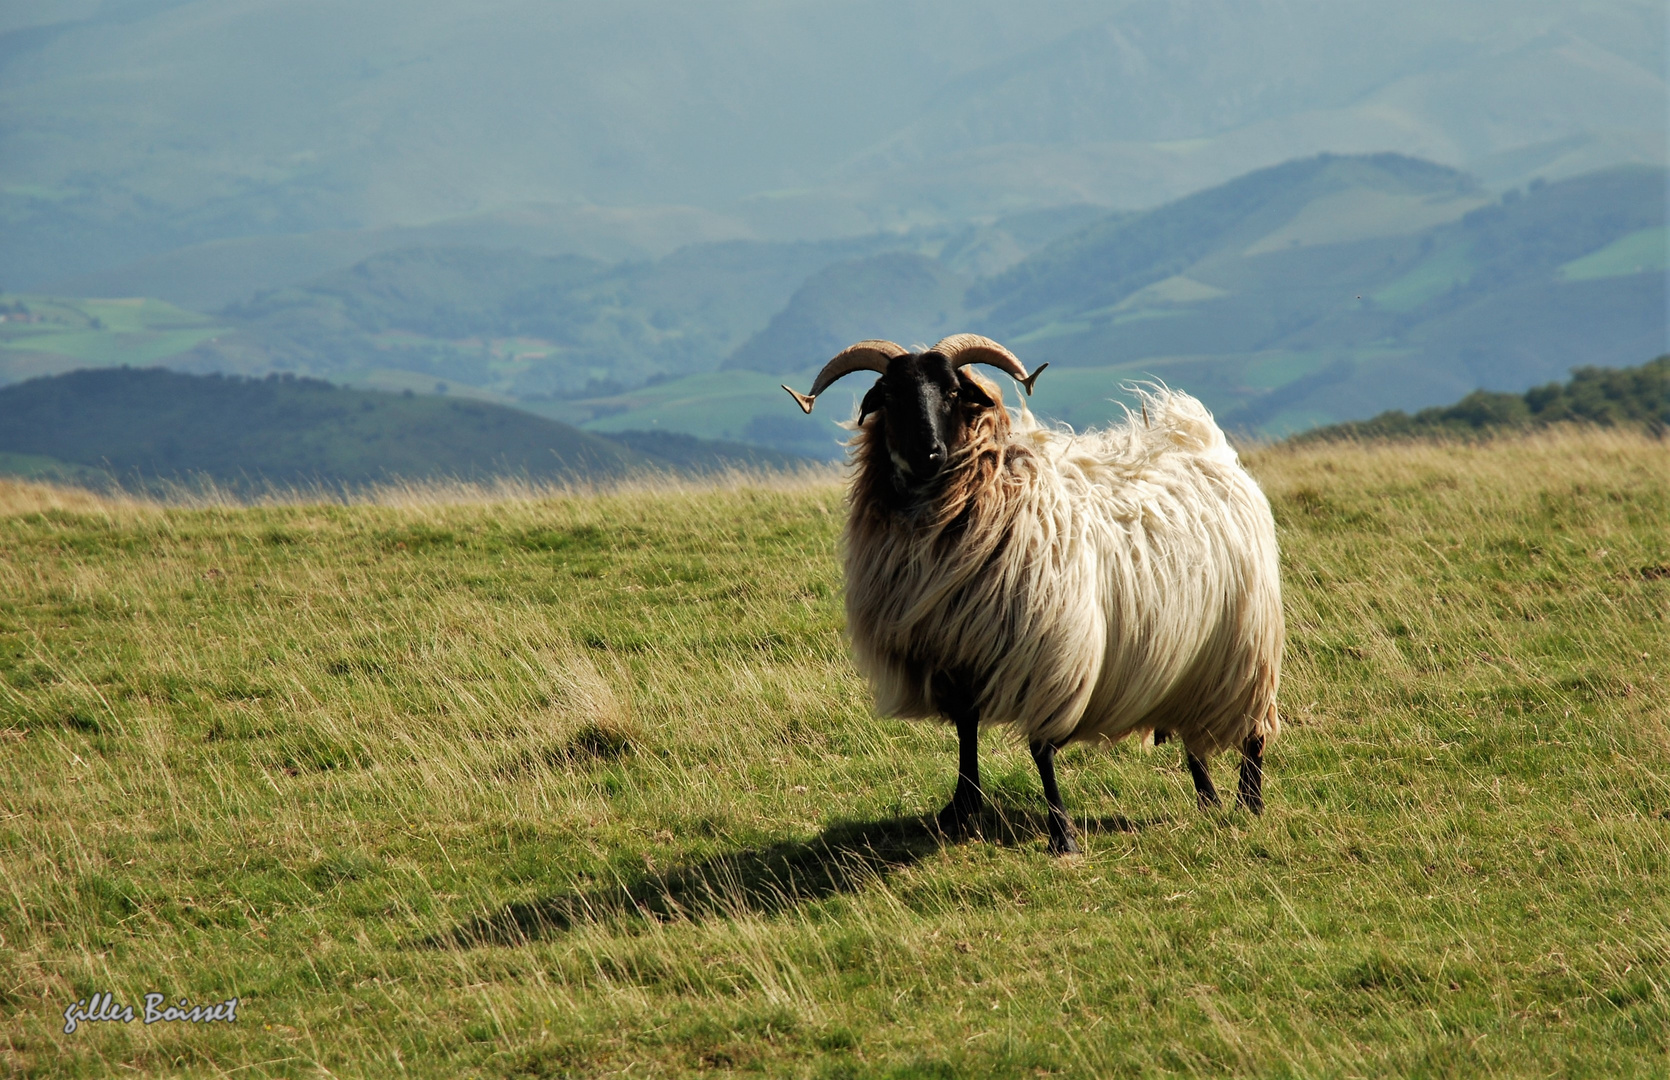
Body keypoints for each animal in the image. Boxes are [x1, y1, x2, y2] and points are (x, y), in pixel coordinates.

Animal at [788, 333, 1282, 854]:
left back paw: (1249, 804)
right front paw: (962, 809)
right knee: (1194, 737)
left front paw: (1062, 835)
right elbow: (966, 731)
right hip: (1188, 662)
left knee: (1253, 734)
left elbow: (1040, 749)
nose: (929, 453)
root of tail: (1205, 442)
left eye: (952, 392)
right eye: (889, 396)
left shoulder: (1050, 655)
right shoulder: (955, 653)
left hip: (1247, 646)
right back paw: (1208, 800)